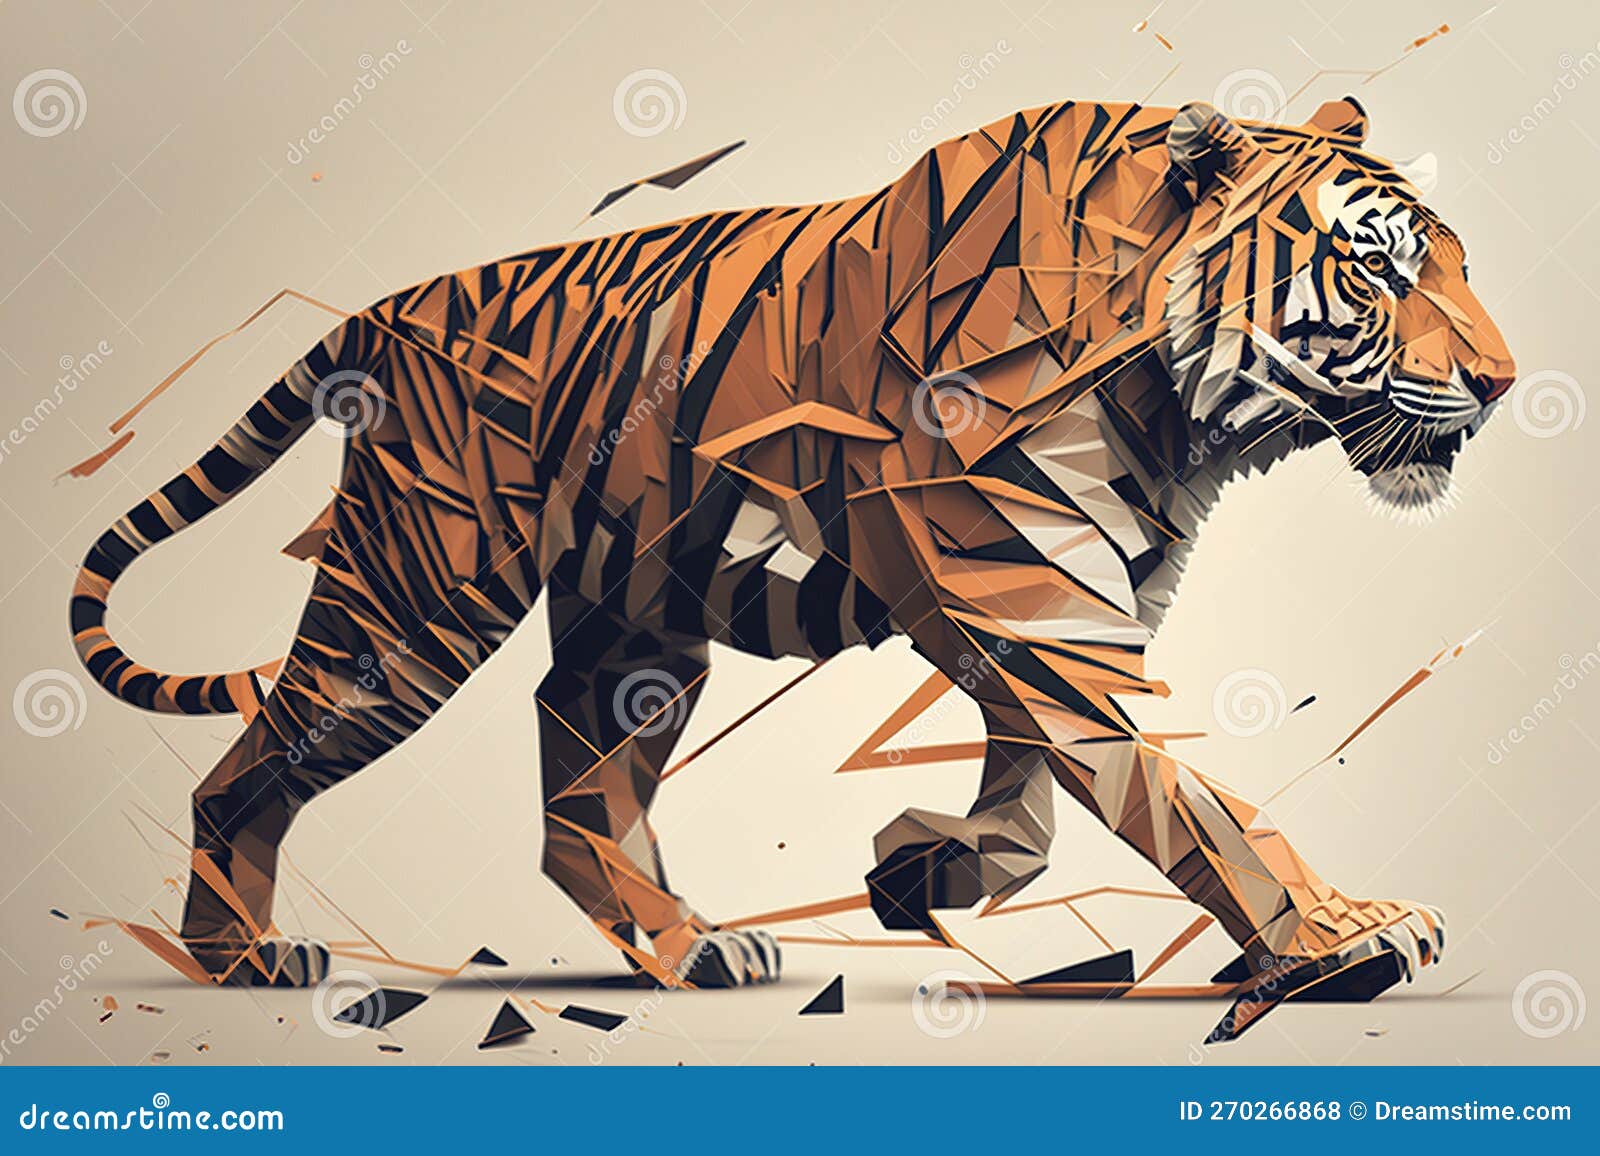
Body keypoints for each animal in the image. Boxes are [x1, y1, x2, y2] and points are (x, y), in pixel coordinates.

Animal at [69, 96, 1515, 1036]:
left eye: (1453, 258)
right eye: (1376, 270)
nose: (1504, 385)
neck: (1186, 418)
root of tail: (383, 303)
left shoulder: (1071, 606)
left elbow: (1039, 797)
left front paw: (922, 868)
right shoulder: (1026, 603)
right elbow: (1188, 797)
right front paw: (1342, 936)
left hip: (635, 619)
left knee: (575, 784)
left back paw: (693, 949)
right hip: (414, 600)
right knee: (253, 762)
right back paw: (244, 956)